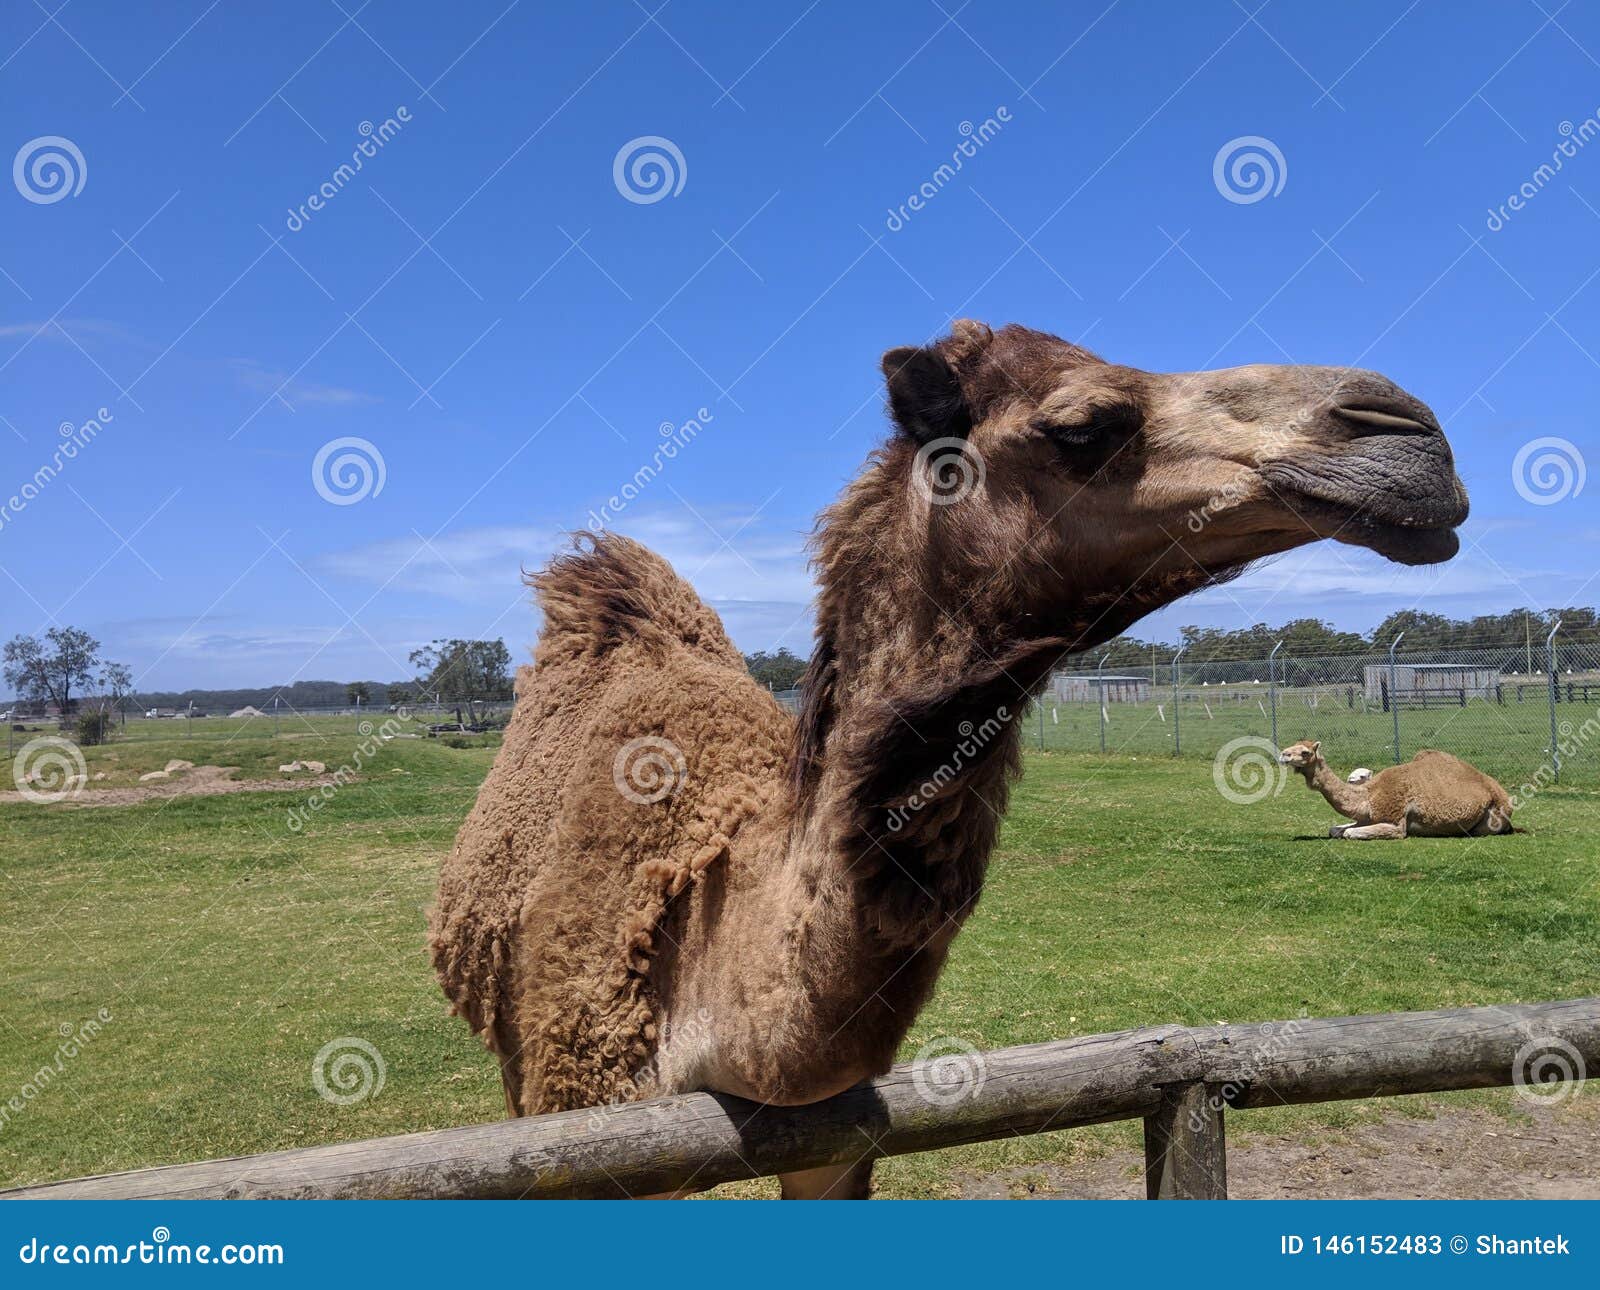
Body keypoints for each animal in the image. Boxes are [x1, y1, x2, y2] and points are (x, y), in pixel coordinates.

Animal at [1278, 740, 1514, 839]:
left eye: (1305, 752)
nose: (1283, 754)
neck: (1368, 795)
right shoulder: (1367, 817)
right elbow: (1335, 829)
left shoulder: (1395, 820)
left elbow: (1350, 833)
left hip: (1492, 819)